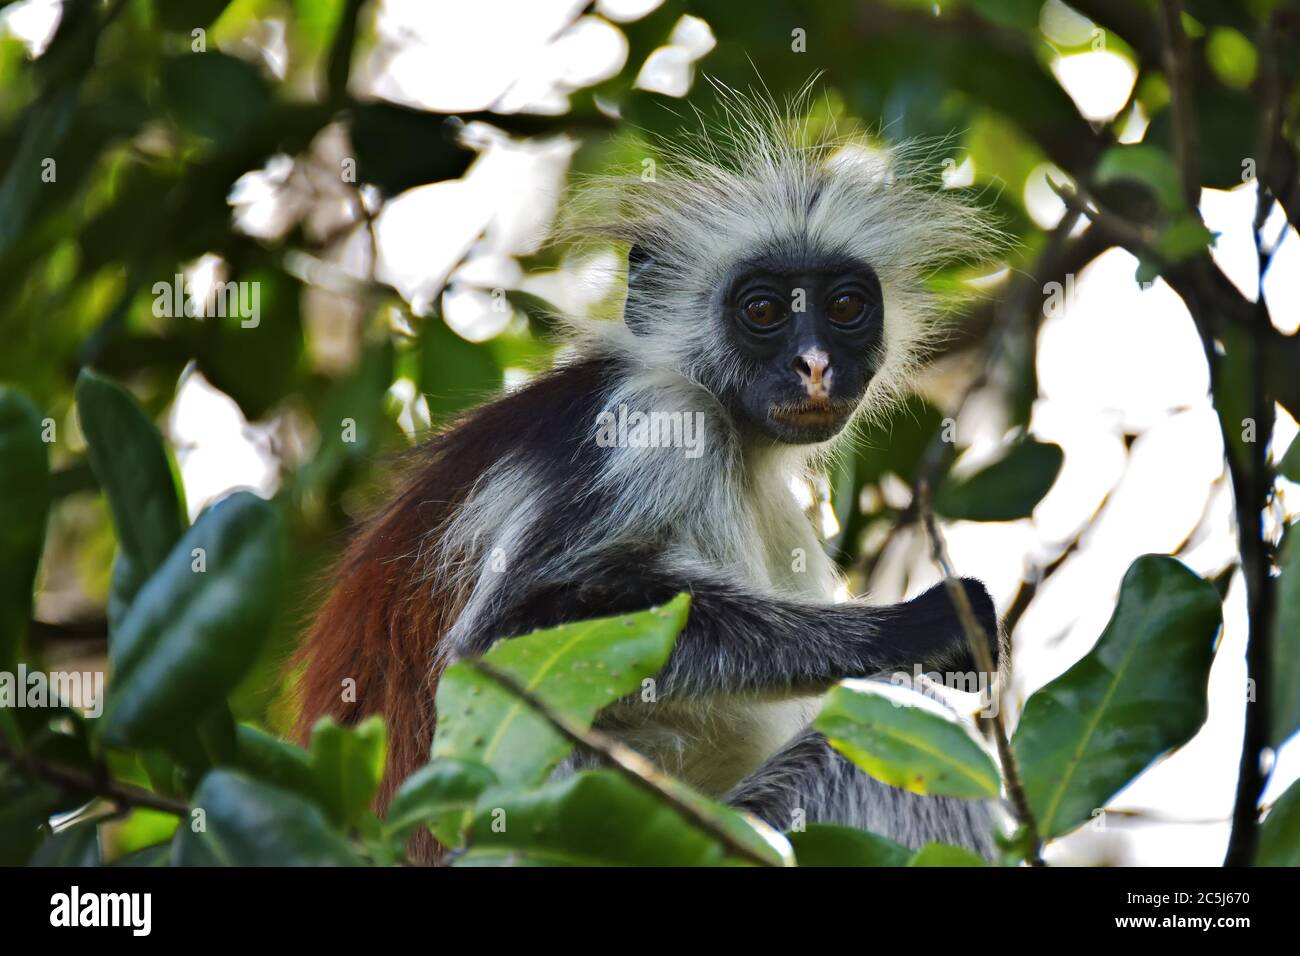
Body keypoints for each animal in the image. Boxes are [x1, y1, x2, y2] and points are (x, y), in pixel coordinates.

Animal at [293, 87, 1007, 863]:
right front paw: (921, 626)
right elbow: (502, 642)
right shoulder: (655, 421)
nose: (814, 364)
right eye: (762, 310)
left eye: (845, 307)